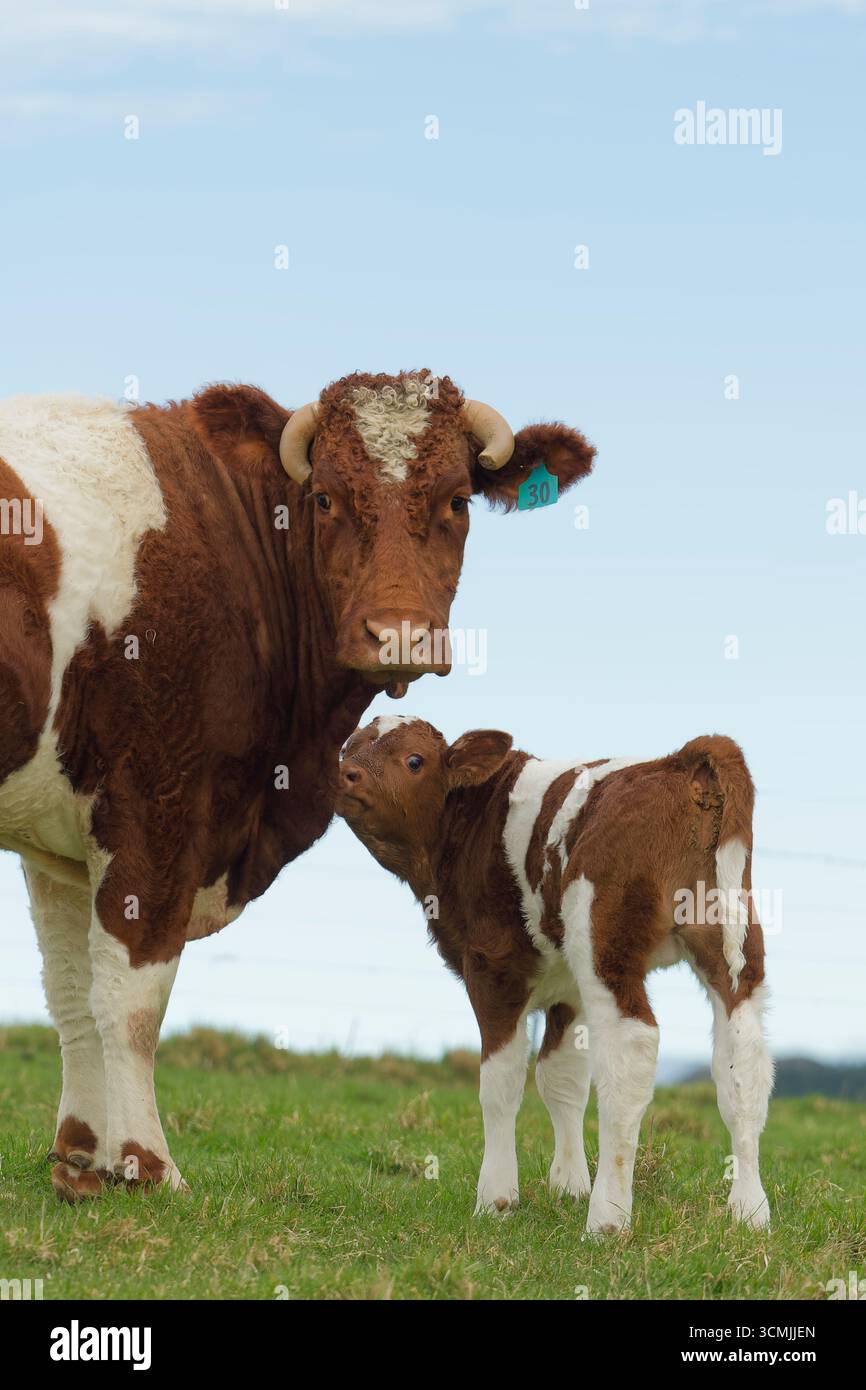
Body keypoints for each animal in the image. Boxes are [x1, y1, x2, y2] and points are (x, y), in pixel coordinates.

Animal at [0, 372, 595, 1201]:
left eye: (458, 499)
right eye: (324, 499)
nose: (399, 634)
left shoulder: (61, 837)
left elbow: (71, 995)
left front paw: (82, 1161)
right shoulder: (156, 800)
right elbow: (131, 997)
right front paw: (148, 1166)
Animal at [336, 715, 773, 1235]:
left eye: (414, 760)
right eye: (348, 748)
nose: (344, 776)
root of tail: (681, 760)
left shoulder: (493, 969)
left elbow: (501, 1083)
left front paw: (496, 1199)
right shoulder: (569, 989)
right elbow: (561, 1078)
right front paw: (568, 1185)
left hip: (607, 946)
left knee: (632, 1049)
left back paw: (607, 1219)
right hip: (731, 944)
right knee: (741, 1061)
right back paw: (749, 1211)